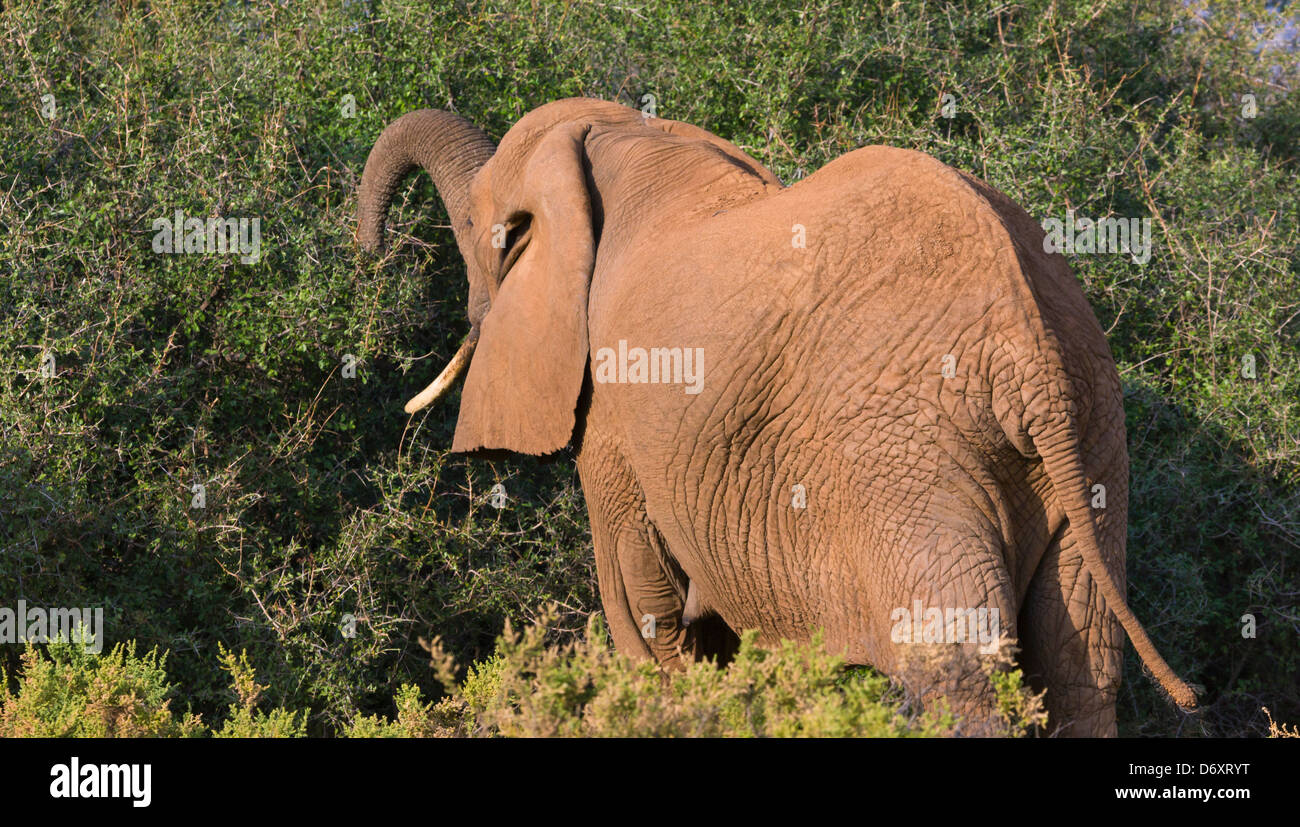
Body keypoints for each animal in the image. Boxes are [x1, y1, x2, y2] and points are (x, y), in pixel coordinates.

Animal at [355, 98, 1196, 736]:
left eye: (484, 233)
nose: (369, 253)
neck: (627, 136)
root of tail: (1031, 345)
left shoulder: (615, 409)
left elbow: (641, 604)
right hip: (1094, 435)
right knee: (1081, 662)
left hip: (902, 444)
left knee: (959, 666)